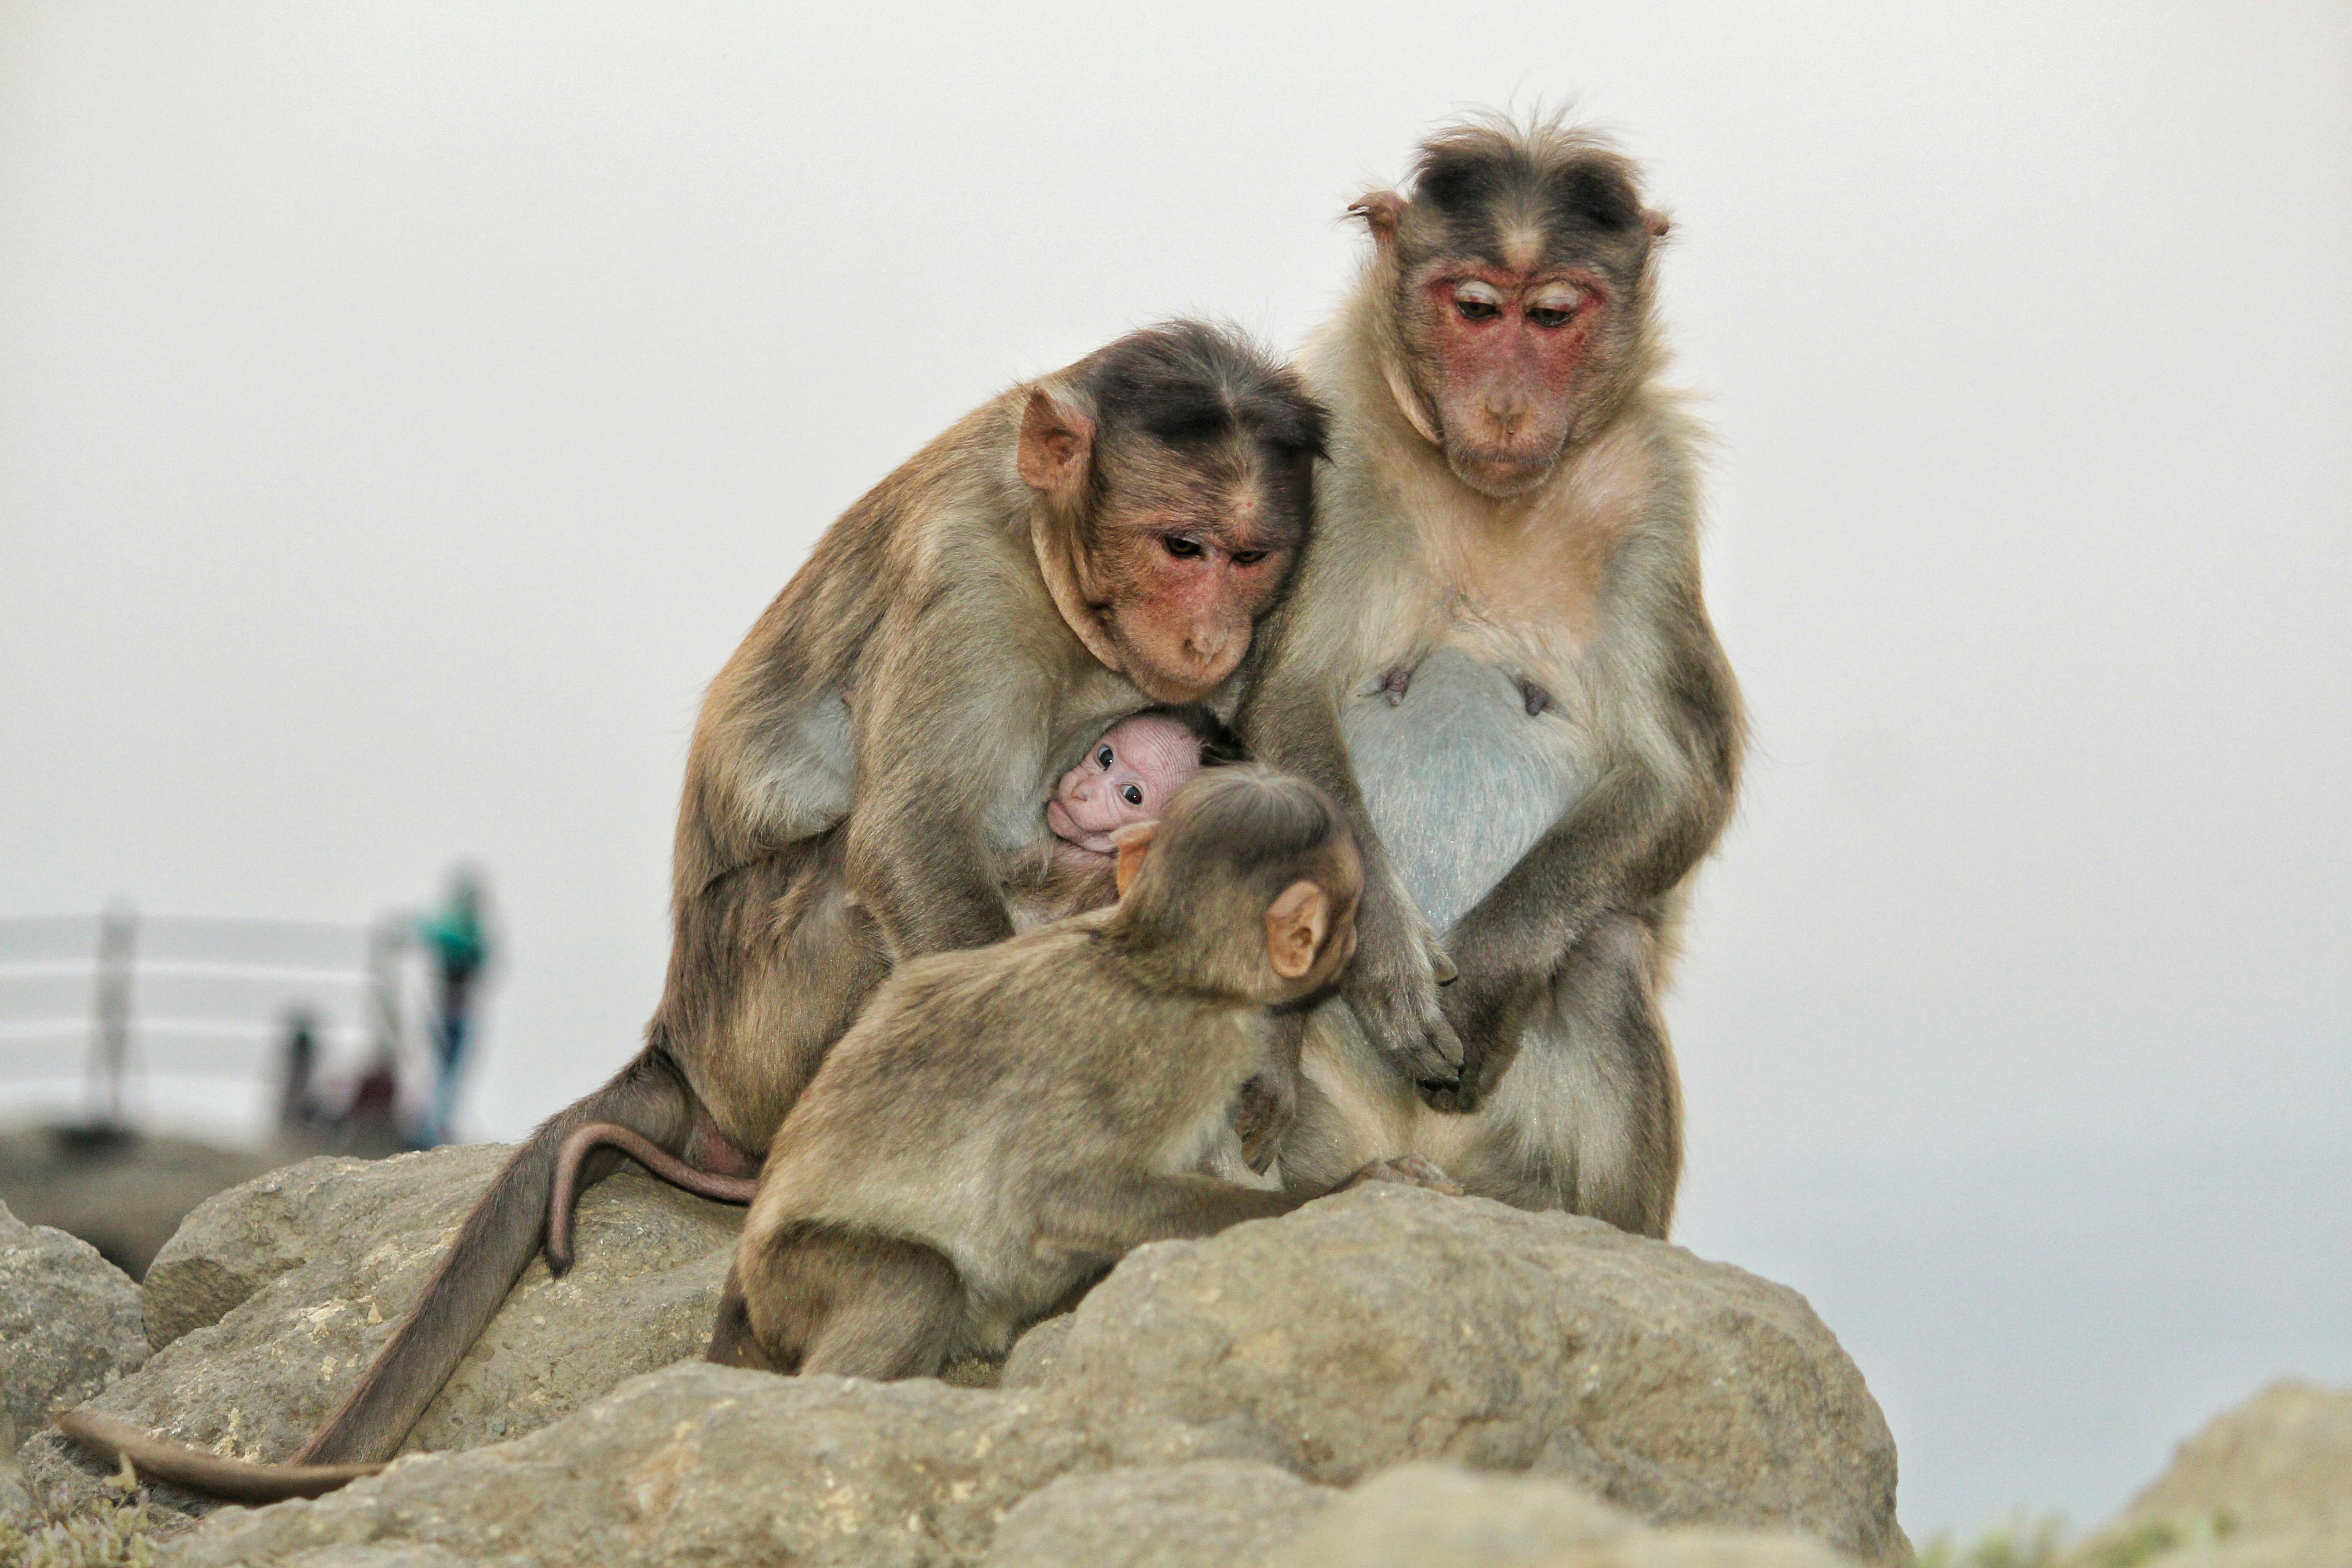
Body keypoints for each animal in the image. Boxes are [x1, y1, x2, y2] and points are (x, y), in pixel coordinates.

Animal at [56, 322, 1327, 1501]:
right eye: (1181, 547)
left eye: (1249, 558)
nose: (1210, 632)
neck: (1055, 573)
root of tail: (671, 1033)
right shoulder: (967, 573)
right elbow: (911, 838)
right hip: (759, 1009)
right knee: (855, 903)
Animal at [700, 764, 1459, 1379]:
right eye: (1347, 914)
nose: (1355, 940)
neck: (1145, 954)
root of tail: (747, 1282)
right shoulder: (1176, 1051)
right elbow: (1057, 1195)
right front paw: (1348, 1191)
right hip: (795, 1277)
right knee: (917, 1284)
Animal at [1236, 115, 1744, 1236]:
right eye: (1473, 309)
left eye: (1552, 315)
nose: (1508, 404)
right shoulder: (1329, 444)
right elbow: (1285, 703)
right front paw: (1383, 948)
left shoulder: (1651, 491)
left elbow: (1677, 779)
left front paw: (1493, 973)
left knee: (1601, 947)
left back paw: (1575, 1216)